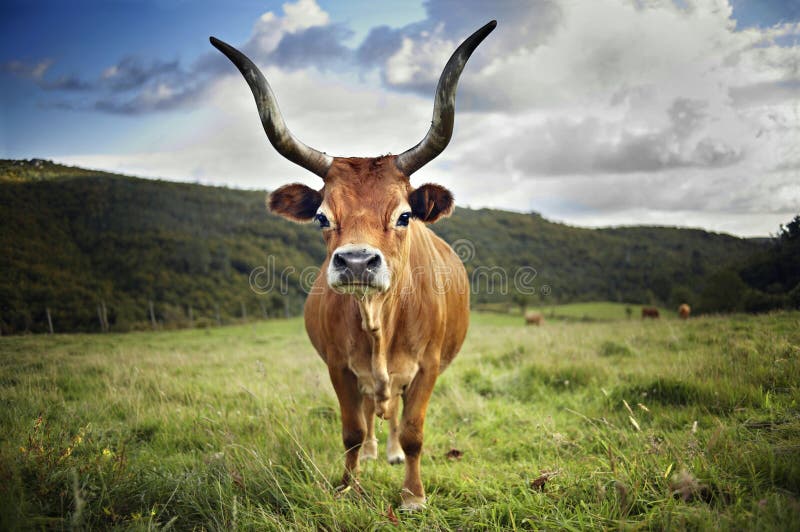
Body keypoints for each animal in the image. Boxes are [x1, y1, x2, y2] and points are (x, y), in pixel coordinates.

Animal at [211, 20, 496, 510]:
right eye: (323, 217)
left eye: (404, 215)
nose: (358, 261)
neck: (377, 320)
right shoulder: (339, 367)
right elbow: (351, 430)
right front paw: (349, 485)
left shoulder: (428, 367)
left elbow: (414, 431)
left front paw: (413, 495)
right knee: (369, 414)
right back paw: (372, 453)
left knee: (394, 412)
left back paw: (394, 453)